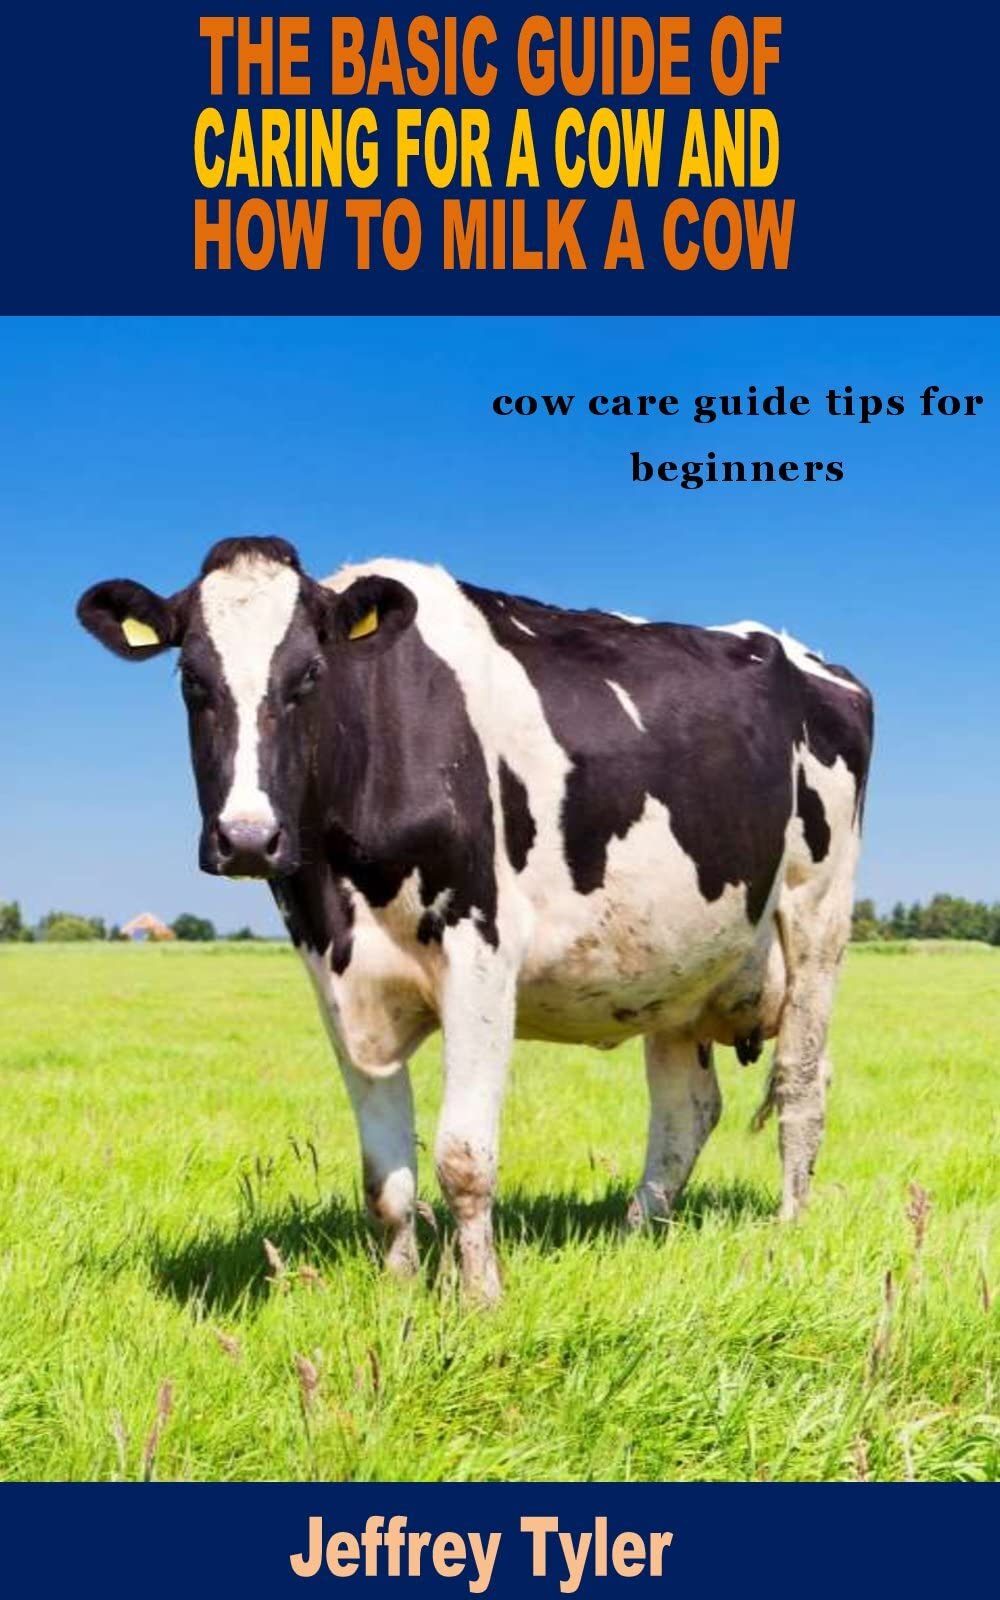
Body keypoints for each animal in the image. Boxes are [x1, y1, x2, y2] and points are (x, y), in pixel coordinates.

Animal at [77, 537, 873, 1302]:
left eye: (309, 675)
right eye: (192, 680)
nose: (248, 839)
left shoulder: (480, 950)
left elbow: (463, 1157)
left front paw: (480, 1297)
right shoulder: (334, 975)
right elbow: (385, 1176)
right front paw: (397, 1295)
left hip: (817, 913)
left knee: (801, 1082)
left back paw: (787, 1229)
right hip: (680, 960)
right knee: (688, 1109)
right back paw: (635, 1233)